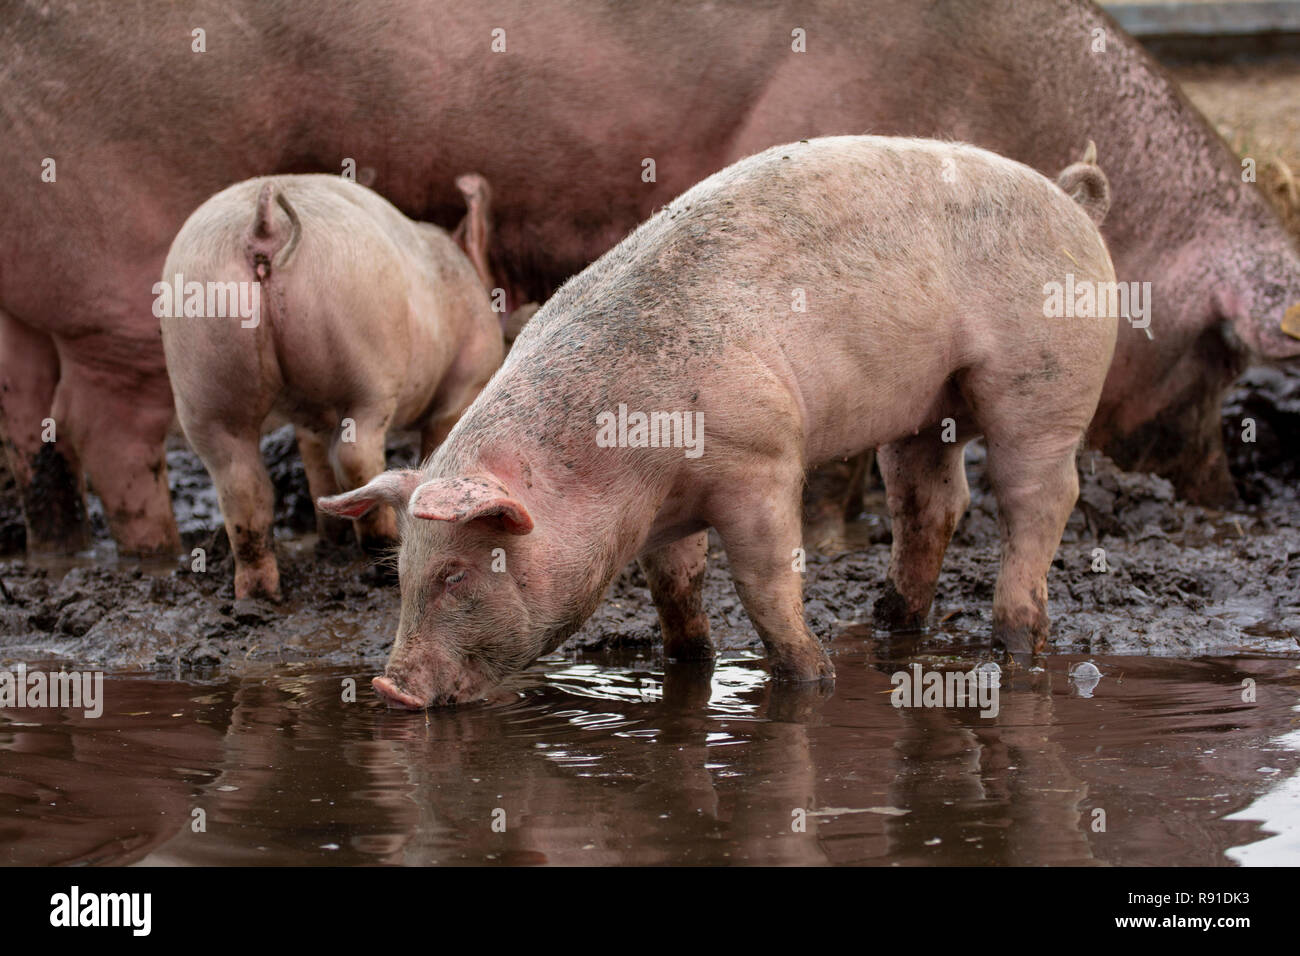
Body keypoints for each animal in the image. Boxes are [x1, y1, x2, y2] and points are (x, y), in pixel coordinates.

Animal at [160, 173, 503, 600]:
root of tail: (264, 226)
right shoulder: (467, 380)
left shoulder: (308, 417)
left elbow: (315, 460)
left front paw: (330, 536)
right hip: (365, 363)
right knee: (356, 457)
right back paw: (381, 548)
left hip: (202, 370)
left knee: (242, 484)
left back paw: (261, 594)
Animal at [317, 135, 1119, 707]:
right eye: (402, 575)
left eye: (456, 573)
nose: (389, 688)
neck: (622, 468)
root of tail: (1074, 201)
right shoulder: (663, 514)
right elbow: (678, 590)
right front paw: (691, 666)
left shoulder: (762, 461)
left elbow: (764, 585)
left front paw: (815, 680)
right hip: (927, 408)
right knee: (932, 500)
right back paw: (891, 623)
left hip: (1044, 384)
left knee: (1038, 498)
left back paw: (1014, 642)